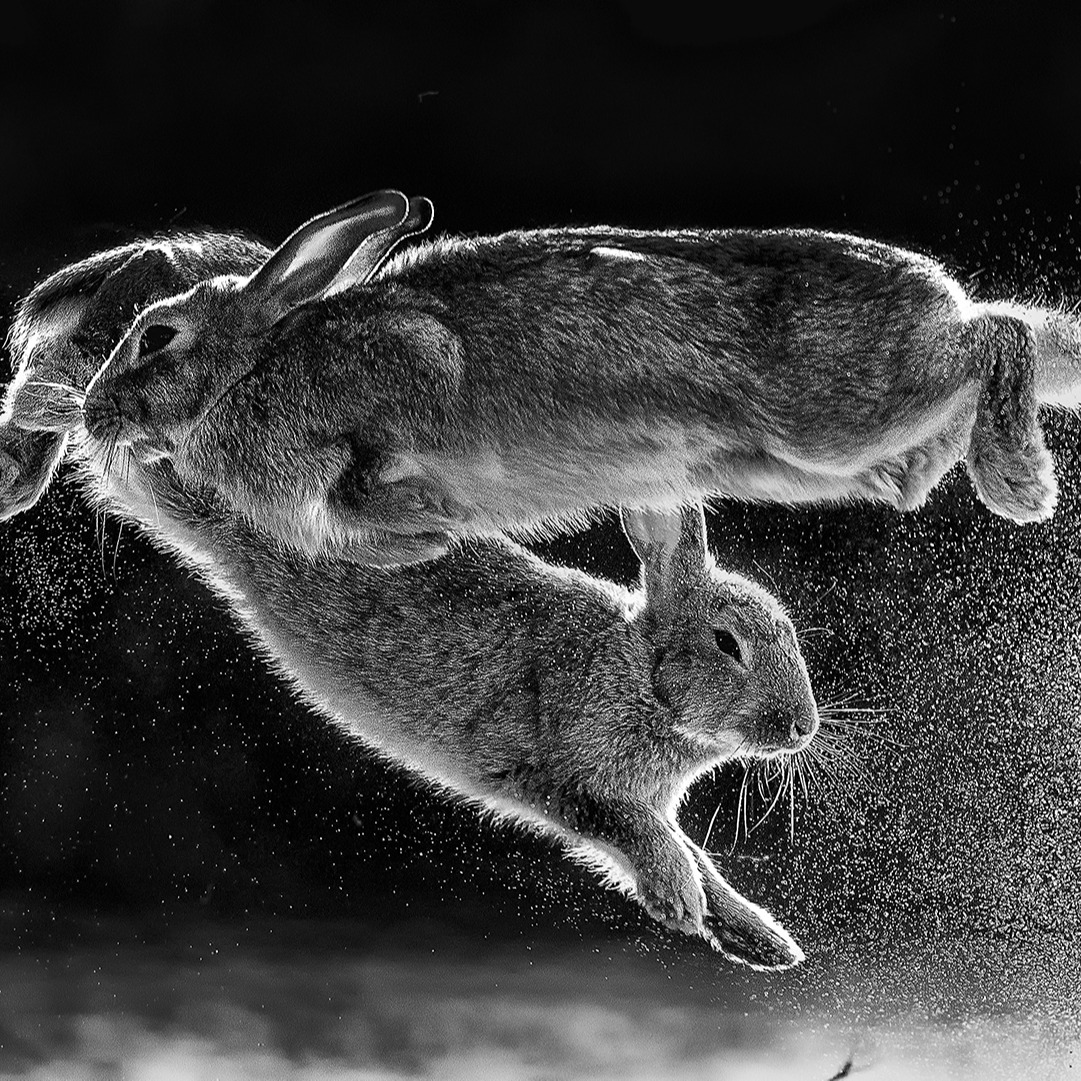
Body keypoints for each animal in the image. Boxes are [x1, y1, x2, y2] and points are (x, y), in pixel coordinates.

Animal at [2, 243, 818, 971]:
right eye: (728, 643)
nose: (801, 728)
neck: (639, 672)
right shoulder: (570, 775)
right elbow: (649, 840)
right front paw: (680, 904)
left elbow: (699, 856)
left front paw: (762, 942)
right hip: (174, 474)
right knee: (85, 411)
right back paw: (38, 439)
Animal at [76, 188, 1081, 566]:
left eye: (156, 338)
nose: (90, 414)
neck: (252, 367)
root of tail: (936, 295)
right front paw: (418, 543)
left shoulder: (408, 364)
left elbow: (373, 468)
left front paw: (423, 516)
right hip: (841, 458)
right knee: (928, 448)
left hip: (835, 415)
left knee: (999, 334)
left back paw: (1019, 481)